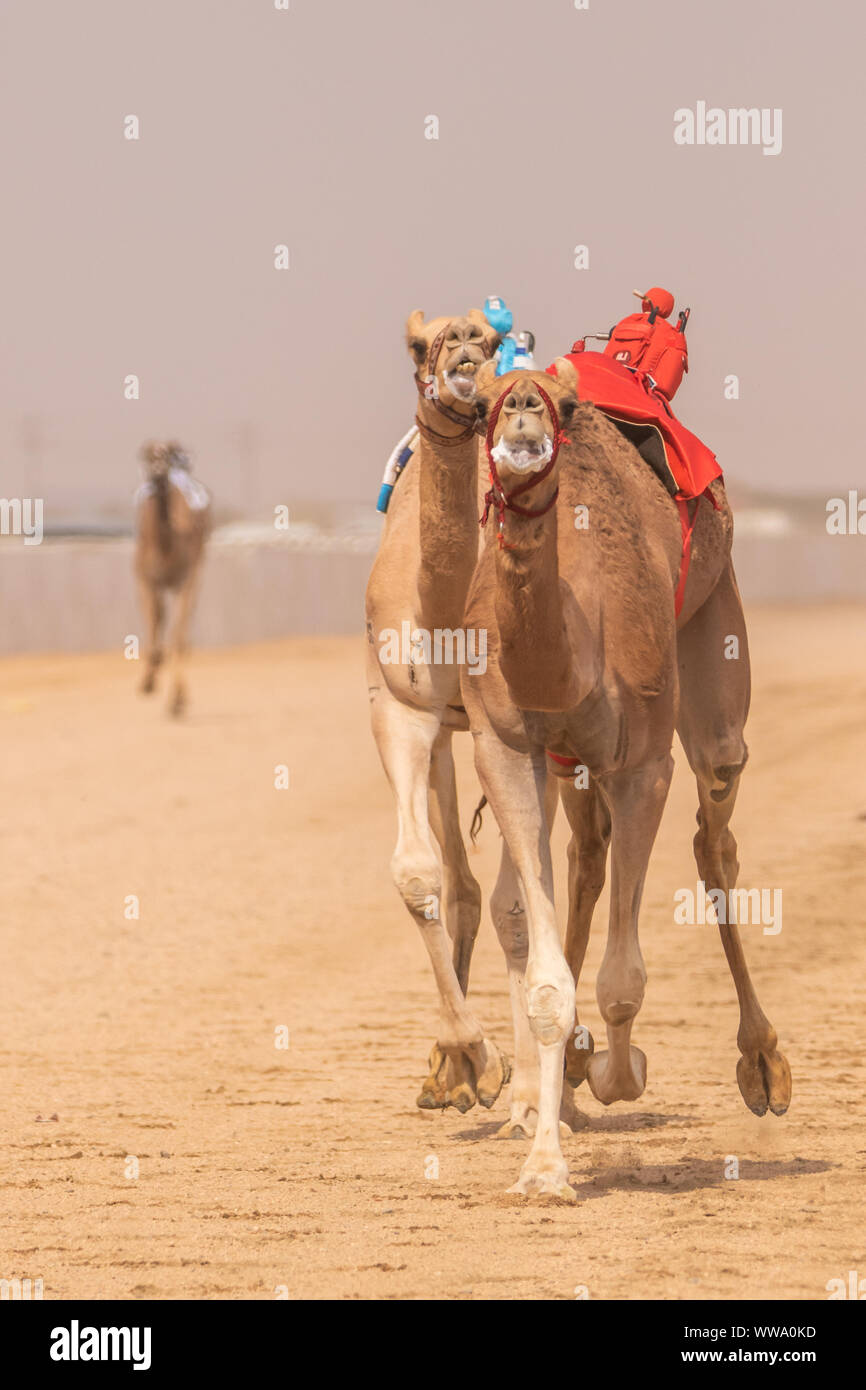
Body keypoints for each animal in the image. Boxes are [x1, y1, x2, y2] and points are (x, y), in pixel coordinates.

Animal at [134, 441, 211, 716]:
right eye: (147, 456)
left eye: (165, 456)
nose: (157, 475)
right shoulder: (145, 578)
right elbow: (156, 621)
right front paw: (148, 681)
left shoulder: (185, 579)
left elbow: (178, 636)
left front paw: (177, 700)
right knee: (160, 618)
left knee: (180, 629)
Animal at [460, 359, 791, 1198]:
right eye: (480, 405)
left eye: (564, 404)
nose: (522, 409)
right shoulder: (505, 748)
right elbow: (549, 982)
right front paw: (545, 1167)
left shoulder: (644, 763)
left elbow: (623, 981)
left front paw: (618, 1073)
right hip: (567, 766)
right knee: (589, 853)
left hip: (714, 631)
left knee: (716, 832)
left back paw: (763, 1064)